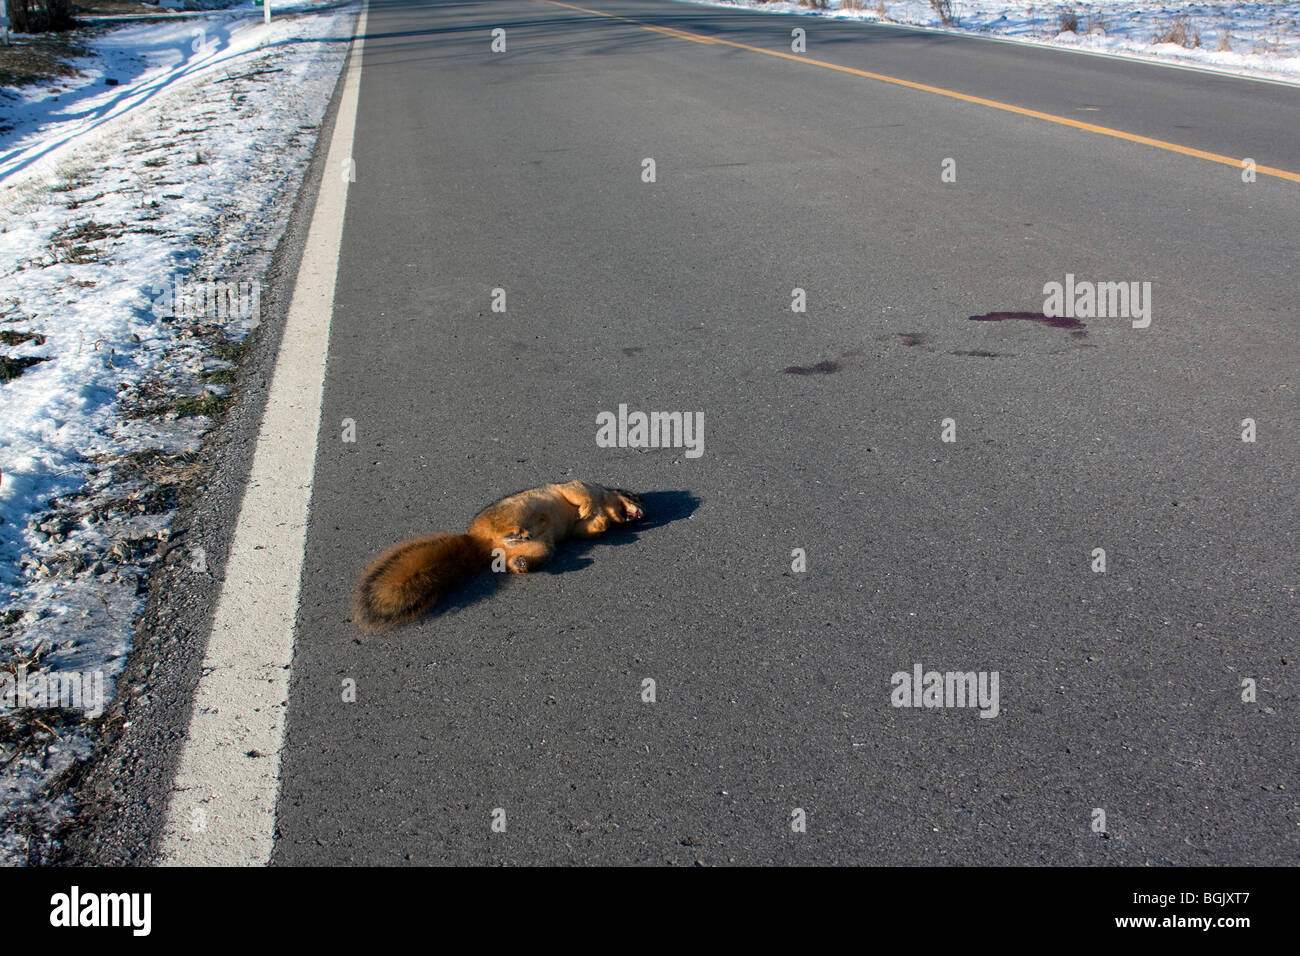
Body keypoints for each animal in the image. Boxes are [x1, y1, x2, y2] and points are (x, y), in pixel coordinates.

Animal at [353, 480, 645, 632]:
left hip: (540, 547)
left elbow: (588, 528)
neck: (605, 504)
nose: (643, 513)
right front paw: (585, 509)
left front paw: (600, 525)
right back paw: (515, 533)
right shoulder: (582, 486)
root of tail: (478, 544)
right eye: (632, 495)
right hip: (514, 511)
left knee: (517, 560)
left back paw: (520, 562)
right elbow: (579, 494)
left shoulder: (583, 525)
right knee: (509, 527)